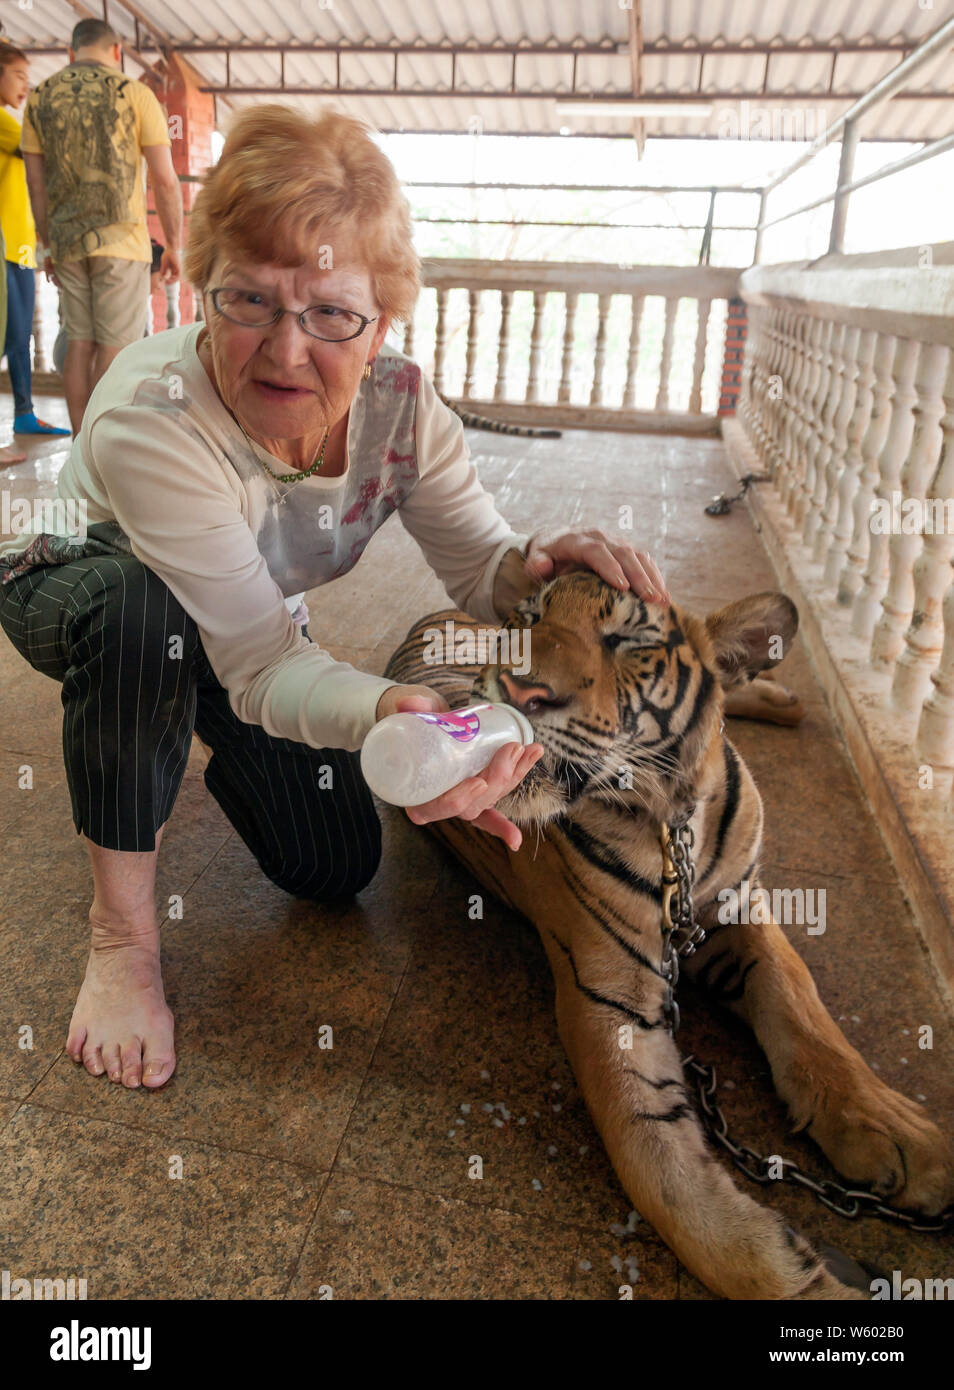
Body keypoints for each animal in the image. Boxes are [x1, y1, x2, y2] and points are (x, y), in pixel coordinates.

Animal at [383, 570, 954, 1299]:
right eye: (530, 619)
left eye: (628, 642)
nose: (517, 688)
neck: (670, 817)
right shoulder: (608, 1000)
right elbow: (667, 1176)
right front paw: (810, 1275)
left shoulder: (742, 908)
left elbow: (803, 1009)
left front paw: (900, 1136)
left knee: (738, 688)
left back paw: (780, 694)